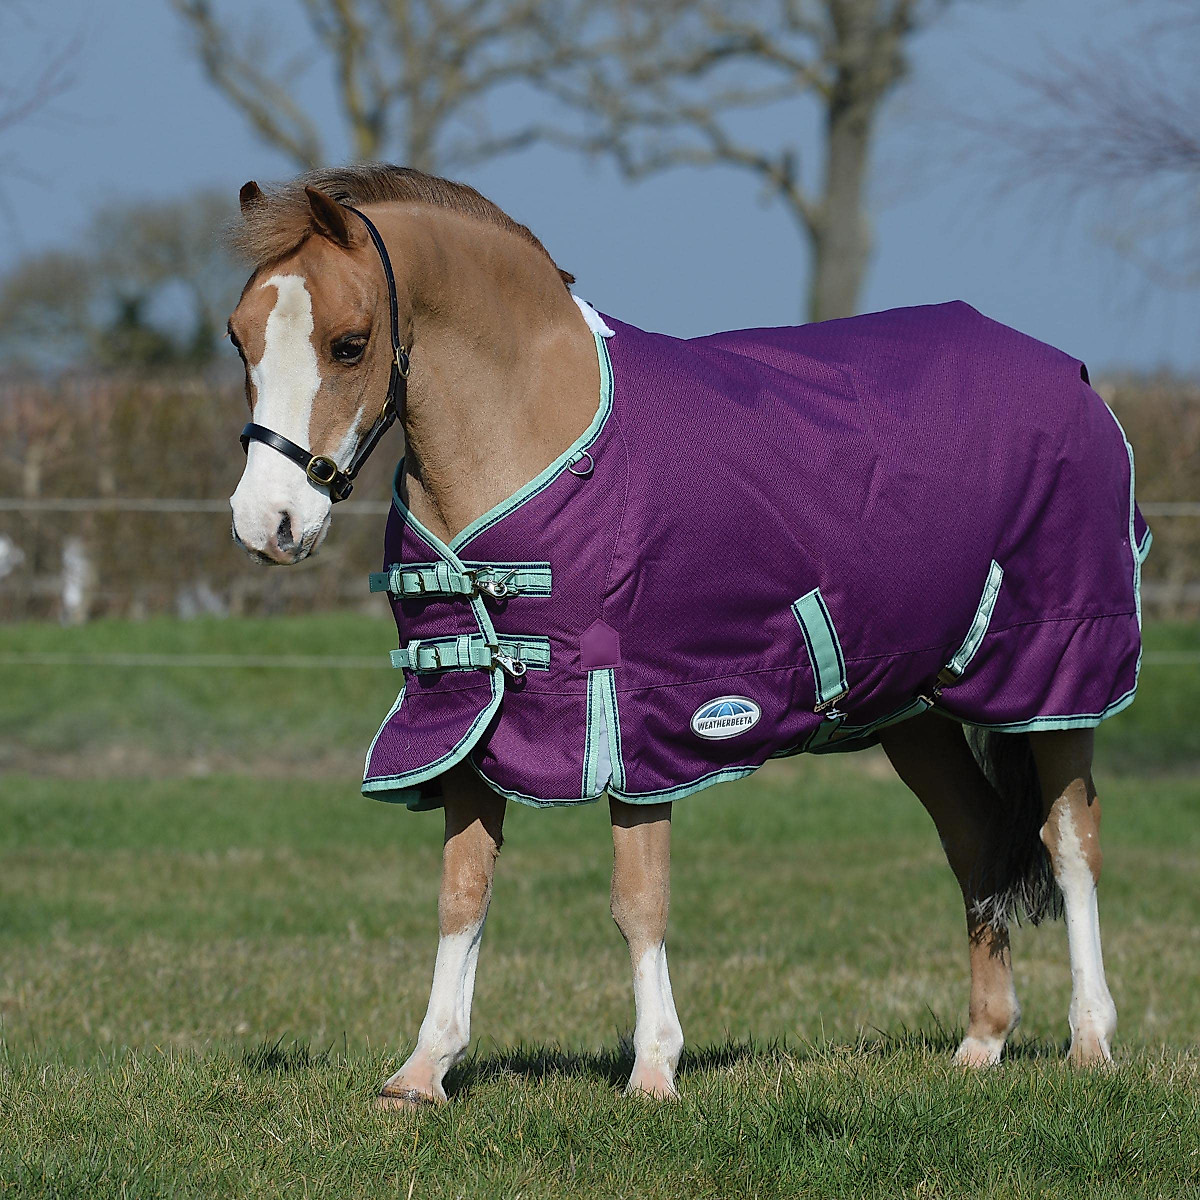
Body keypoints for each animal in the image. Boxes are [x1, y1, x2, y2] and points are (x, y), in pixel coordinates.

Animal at [226, 164, 1146, 1106]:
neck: (539, 435)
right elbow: (463, 892)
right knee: (977, 845)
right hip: (914, 712)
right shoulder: (469, 709)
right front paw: (423, 1071)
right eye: (239, 339)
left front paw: (654, 1071)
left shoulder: (640, 717)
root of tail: (1076, 380)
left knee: (1070, 847)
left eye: (348, 344)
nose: (268, 523)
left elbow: (639, 899)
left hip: (1060, 678)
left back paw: (1091, 1042)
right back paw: (981, 1044)